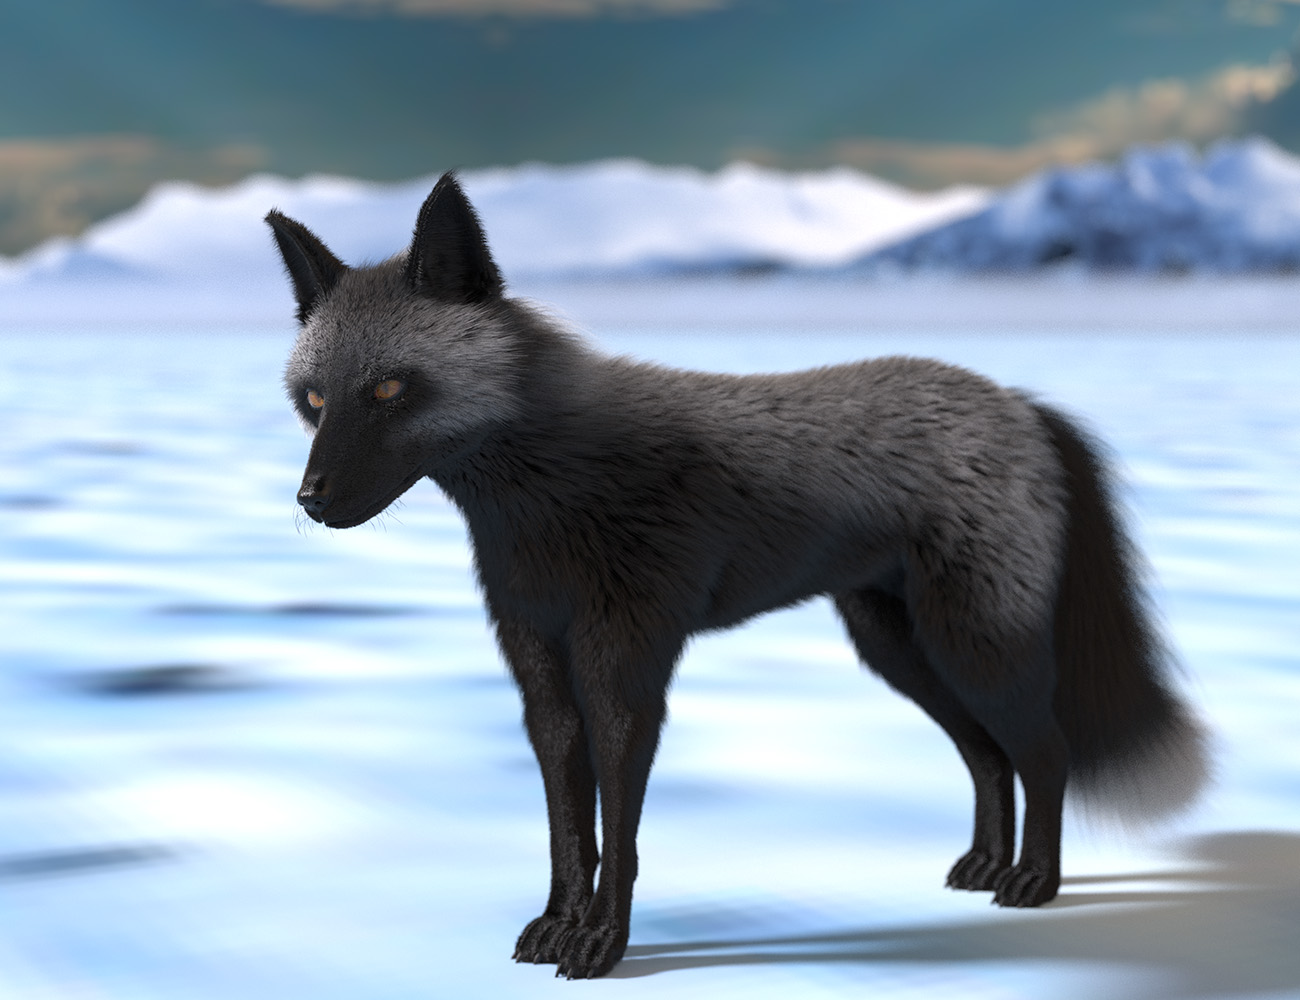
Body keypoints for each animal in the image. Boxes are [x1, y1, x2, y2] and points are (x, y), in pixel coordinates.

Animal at [266, 173, 1208, 980]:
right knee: (987, 756)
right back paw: (983, 865)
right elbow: (570, 826)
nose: (310, 500)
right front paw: (557, 924)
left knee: (1042, 751)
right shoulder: (542, 670)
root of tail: (1019, 400)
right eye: (314, 400)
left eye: (391, 389)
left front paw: (601, 942)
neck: (543, 496)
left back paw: (1035, 883)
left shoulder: (626, 666)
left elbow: (619, 828)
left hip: (975, 642)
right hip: (899, 647)